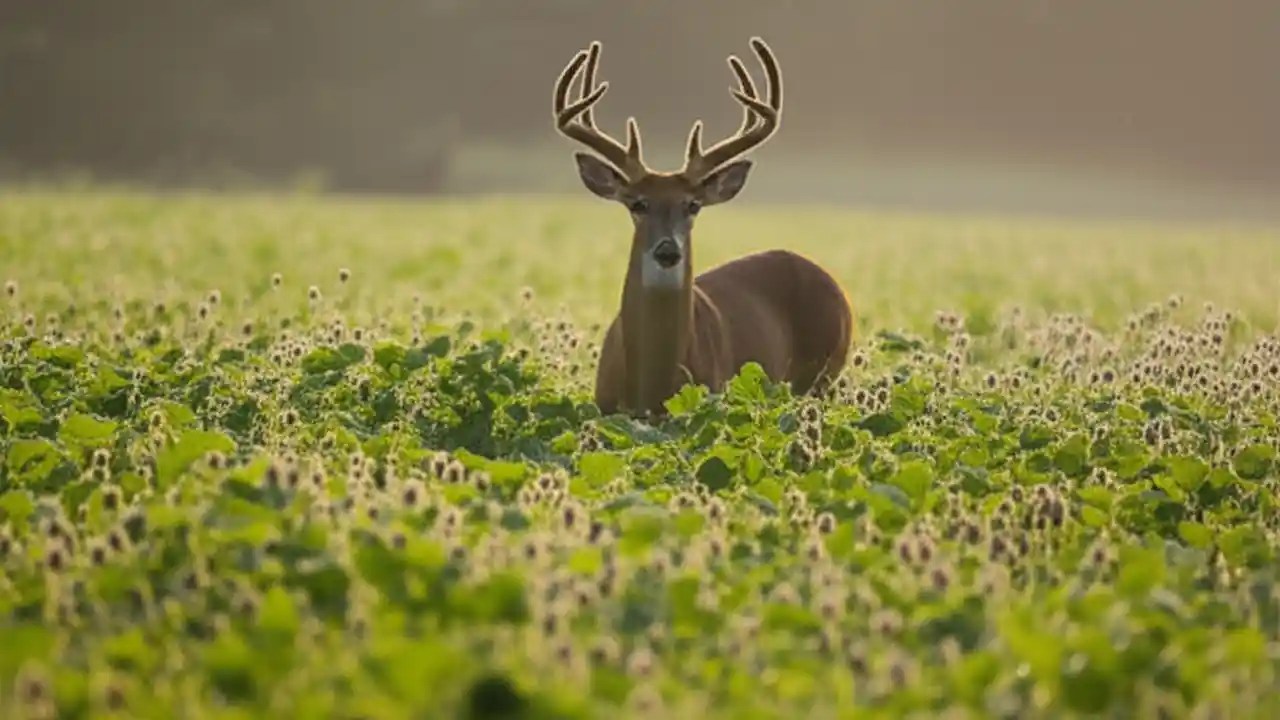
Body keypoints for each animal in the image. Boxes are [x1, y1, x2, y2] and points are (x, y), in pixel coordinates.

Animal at [552, 37, 854, 418]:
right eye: (638, 203)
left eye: (692, 205)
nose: (668, 250)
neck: (651, 387)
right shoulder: (604, 408)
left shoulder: (712, 394)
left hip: (822, 376)